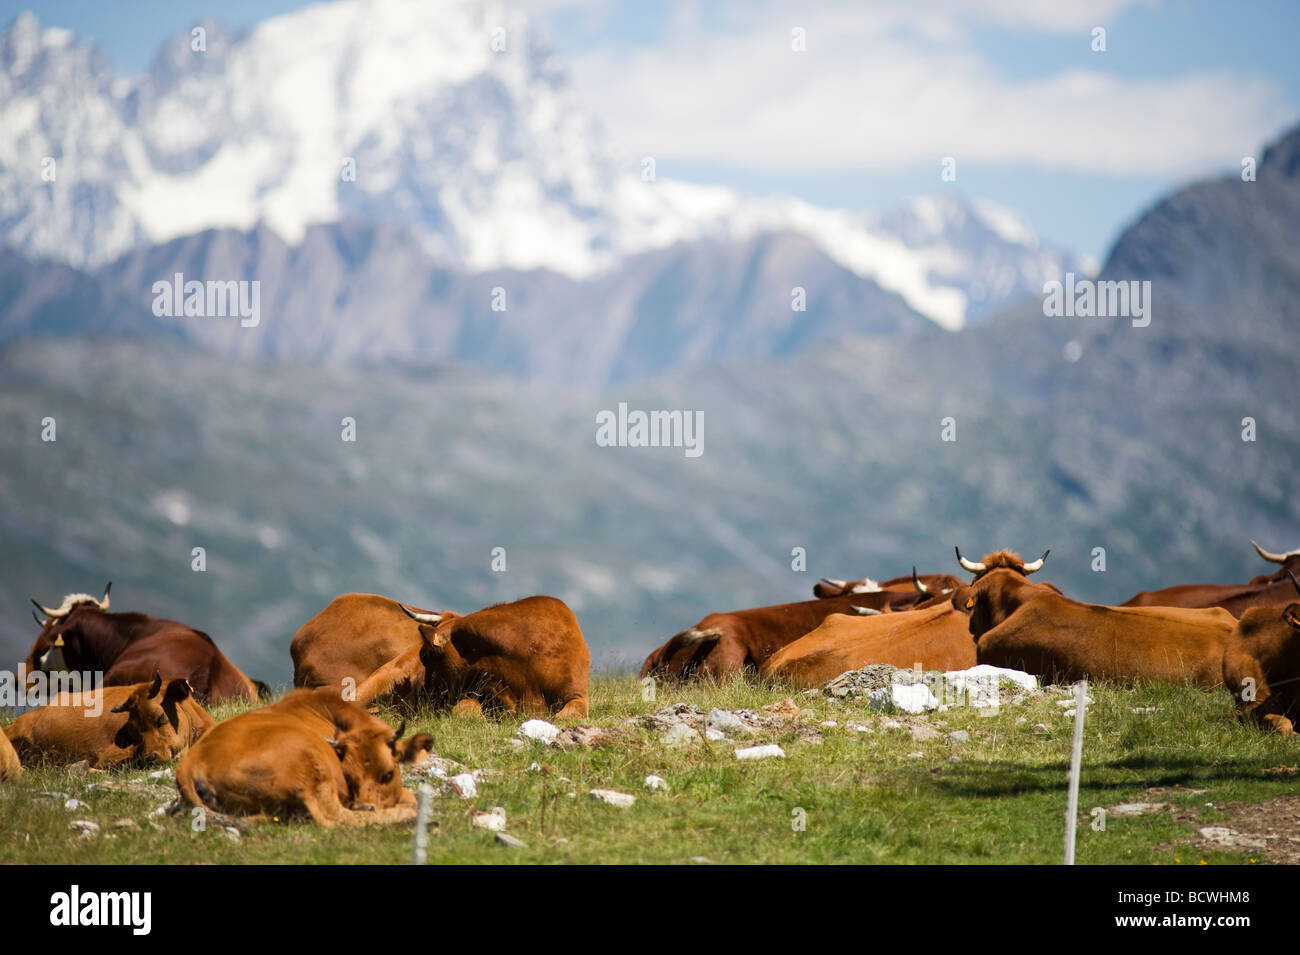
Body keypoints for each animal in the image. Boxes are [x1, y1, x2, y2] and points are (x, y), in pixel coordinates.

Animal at [176, 688, 433, 827]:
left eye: (388, 774)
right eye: (349, 777)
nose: (365, 806)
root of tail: (189, 763)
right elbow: (409, 796)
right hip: (312, 766)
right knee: (334, 817)